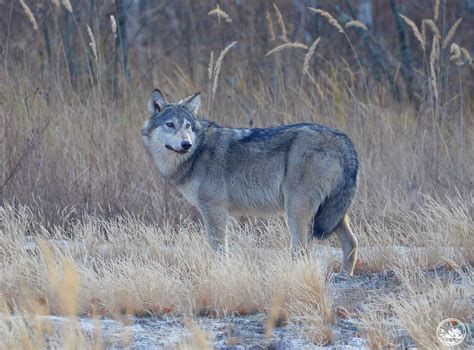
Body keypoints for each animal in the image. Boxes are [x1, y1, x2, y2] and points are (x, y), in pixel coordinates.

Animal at [141, 89, 360, 276]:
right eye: (170, 125)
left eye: (187, 126)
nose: (186, 144)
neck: (197, 153)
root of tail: (343, 138)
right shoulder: (219, 211)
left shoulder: (213, 208)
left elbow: (218, 248)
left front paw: (220, 274)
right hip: (331, 213)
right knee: (351, 242)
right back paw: (343, 276)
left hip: (297, 210)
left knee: (302, 249)